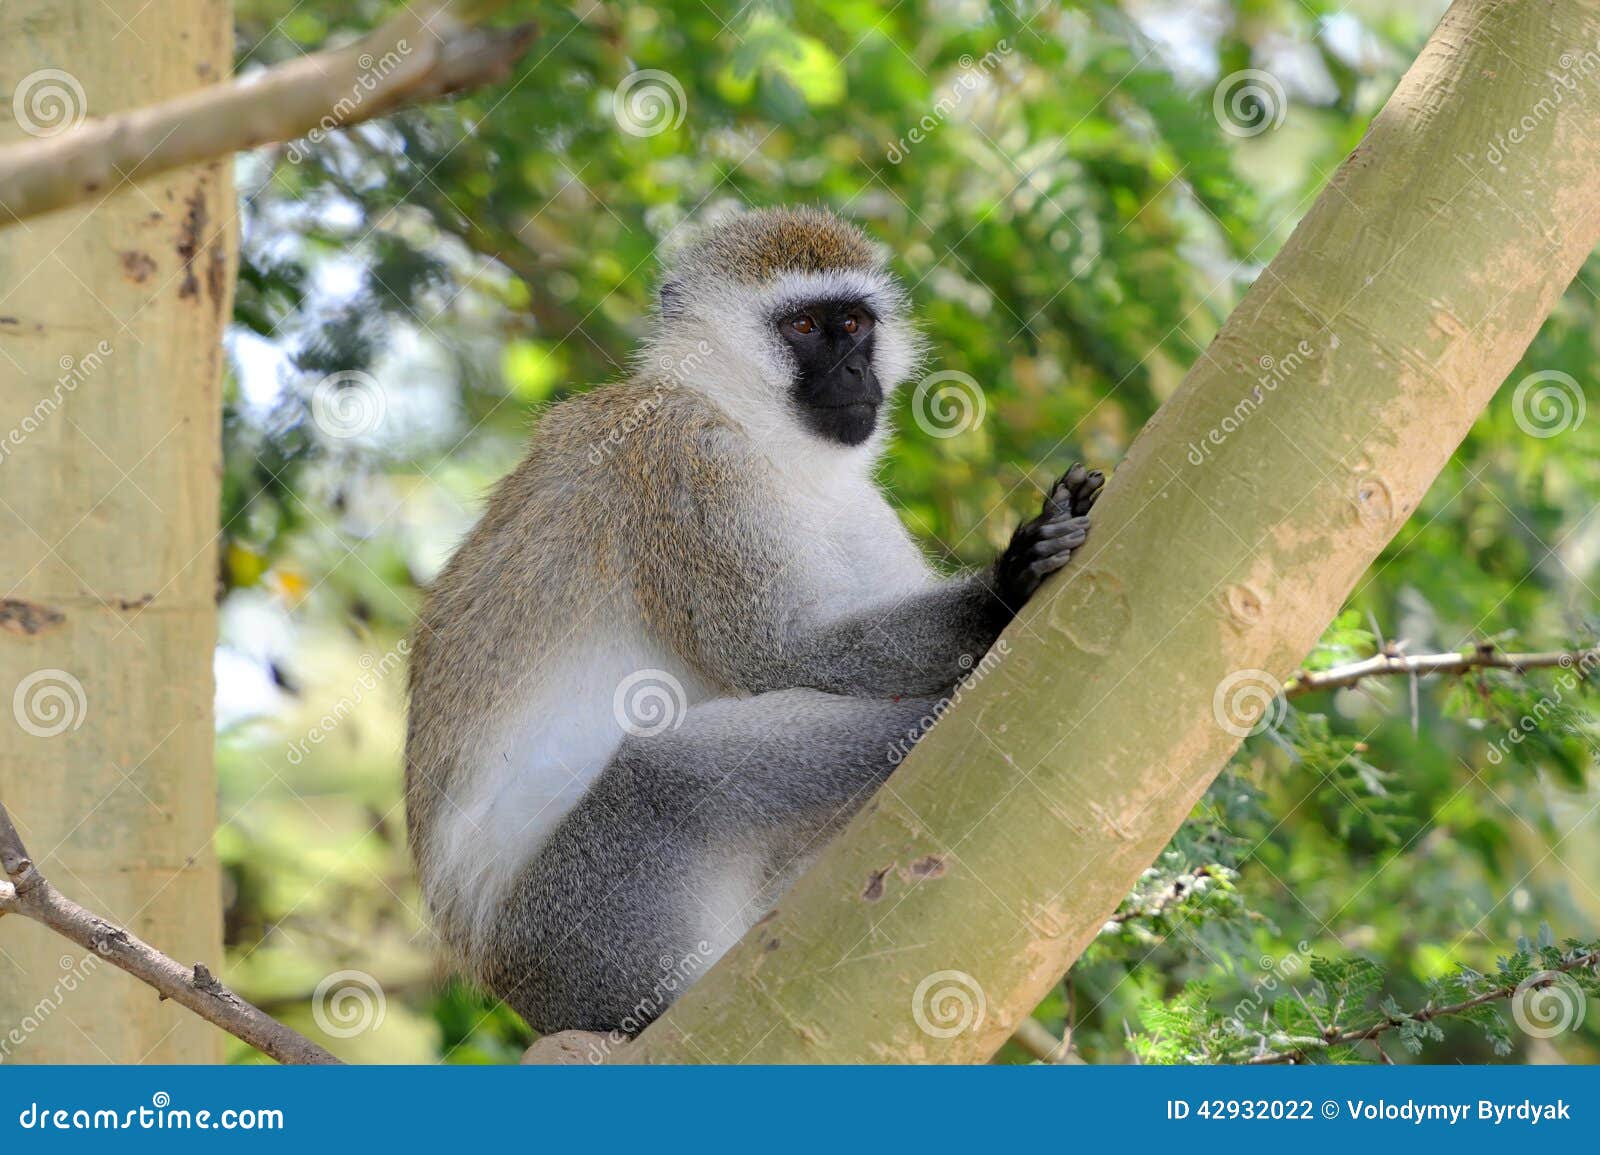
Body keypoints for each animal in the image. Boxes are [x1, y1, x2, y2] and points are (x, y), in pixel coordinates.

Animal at [404, 206, 1104, 1035]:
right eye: (802, 326)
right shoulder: (685, 459)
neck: (758, 434)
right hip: (584, 923)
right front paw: (1004, 585)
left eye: (854, 323)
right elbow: (783, 653)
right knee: (673, 773)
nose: (855, 374)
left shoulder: (856, 504)